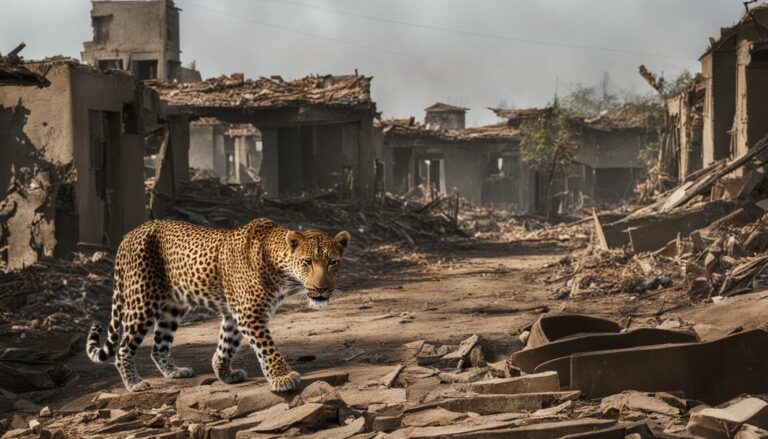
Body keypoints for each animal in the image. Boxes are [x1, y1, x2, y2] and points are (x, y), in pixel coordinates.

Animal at [86, 218, 350, 392]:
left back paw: (174, 372)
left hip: (173, 307)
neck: (281, 269)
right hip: (142, 300)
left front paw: (225, 374)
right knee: (123, 347)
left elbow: (226, 345)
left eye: (333, 262)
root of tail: (128, 235)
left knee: (159, 344)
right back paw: (134, 384)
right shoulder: (250, 314)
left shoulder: (235, 315)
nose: (321, 289)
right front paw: (283, 378)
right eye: (307, 262)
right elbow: (268, 348)